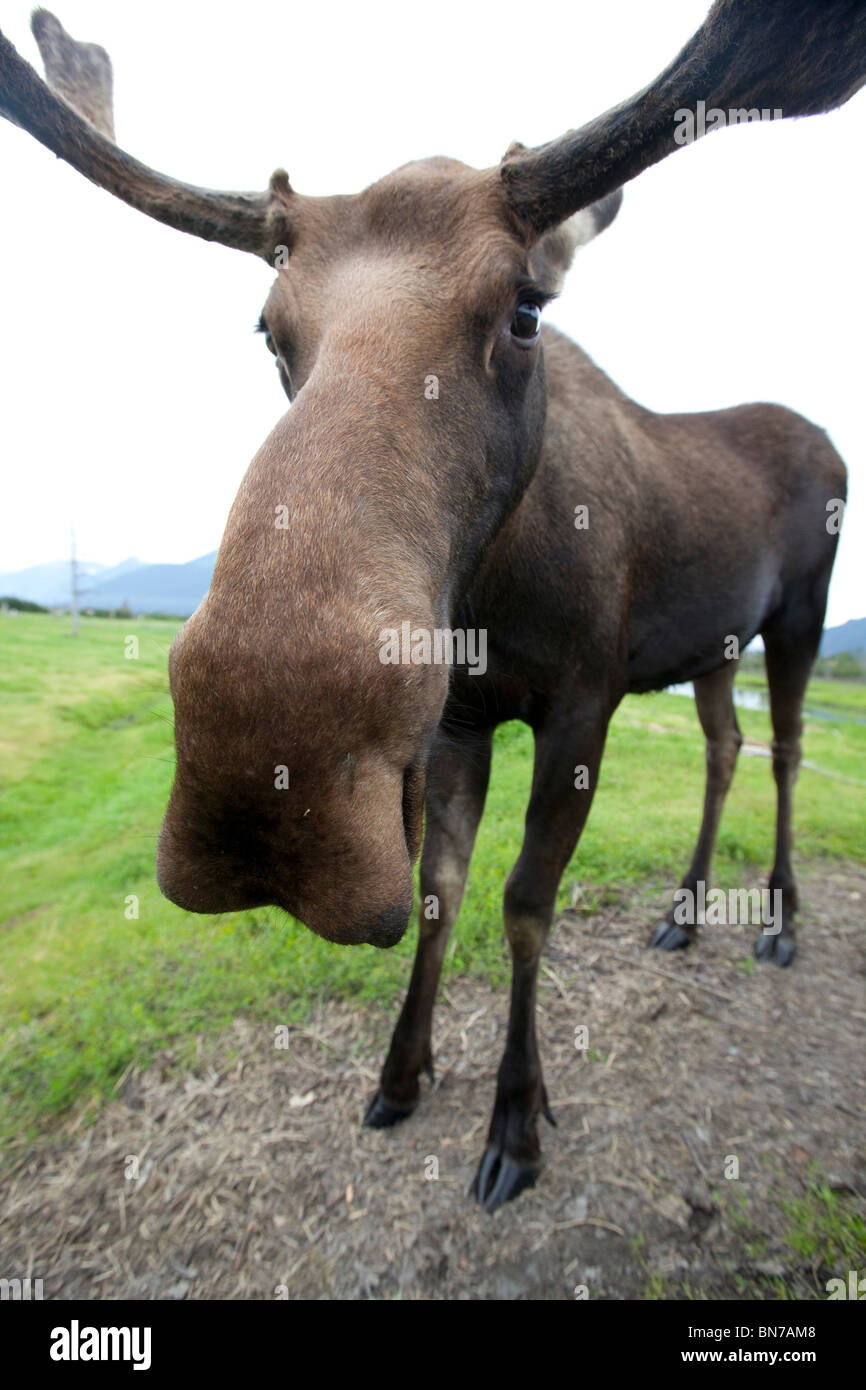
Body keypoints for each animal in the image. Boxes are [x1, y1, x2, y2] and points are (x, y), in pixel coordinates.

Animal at [1, 2, 861, 1211]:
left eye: (526, 310)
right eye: (268, 329)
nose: (266, 779)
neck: (493, 602)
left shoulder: (584, 696)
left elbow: (524, 900)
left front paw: (516, 1122)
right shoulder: (456, 715)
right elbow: (438, 891)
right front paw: (401, 1073)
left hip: (800, 614)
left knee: (783, 747)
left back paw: (778, 925)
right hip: (713, 644)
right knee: (726, 745)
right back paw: (686, 915)